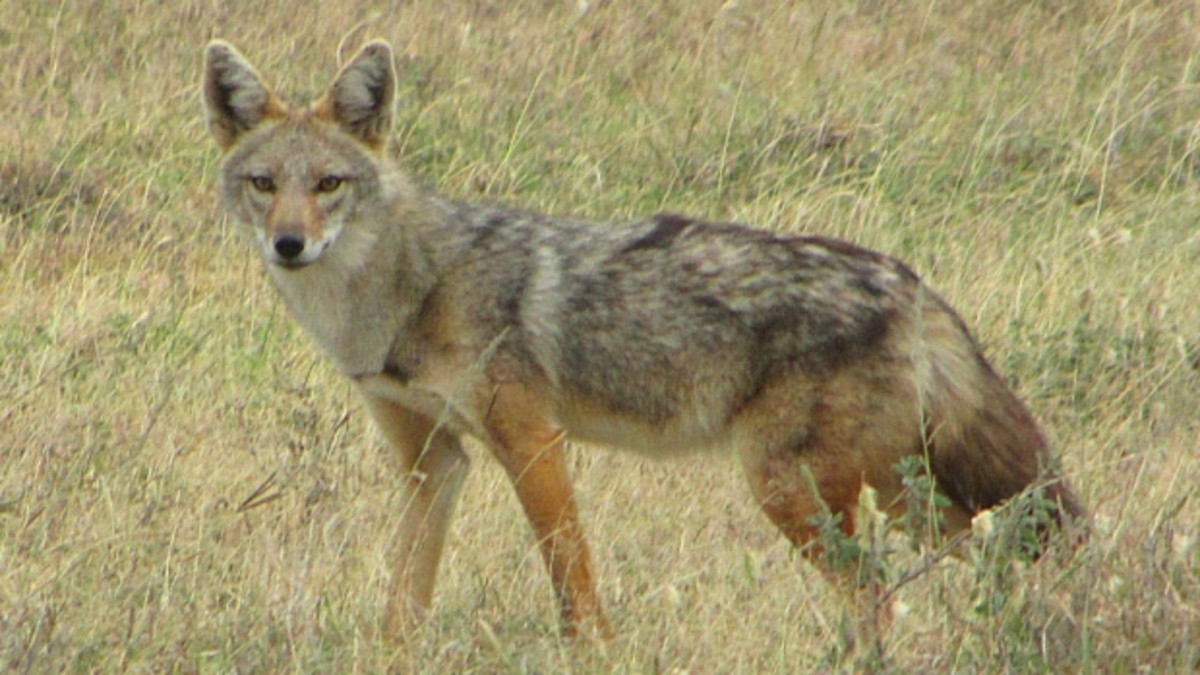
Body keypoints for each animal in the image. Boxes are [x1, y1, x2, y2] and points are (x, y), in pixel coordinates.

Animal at [202, 39, 1083, 640]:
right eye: (264, 185)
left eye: (329, 184)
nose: (289, 245)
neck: (406, 290)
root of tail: (909, 280)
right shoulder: (432, 463)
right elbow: (402, 605)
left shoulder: (533, 442)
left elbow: (575, 590)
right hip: (902, 496)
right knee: (988, 559)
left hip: (793, 490)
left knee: (881, 596)